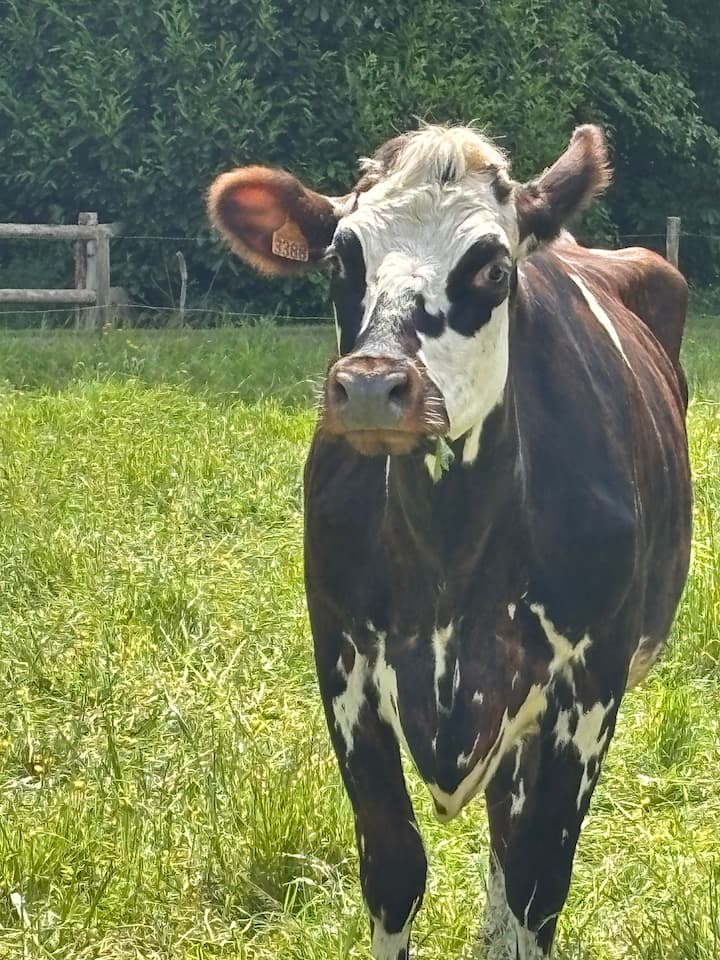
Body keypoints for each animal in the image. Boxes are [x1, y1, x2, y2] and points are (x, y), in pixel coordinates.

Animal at [208, 123, 692, 959]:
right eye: (341, 260)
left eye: (492, 268)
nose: (373, 385)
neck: (449, 548)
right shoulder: (343, 659)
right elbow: (394, 866)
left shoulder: (589, 683)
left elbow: (537, 879)